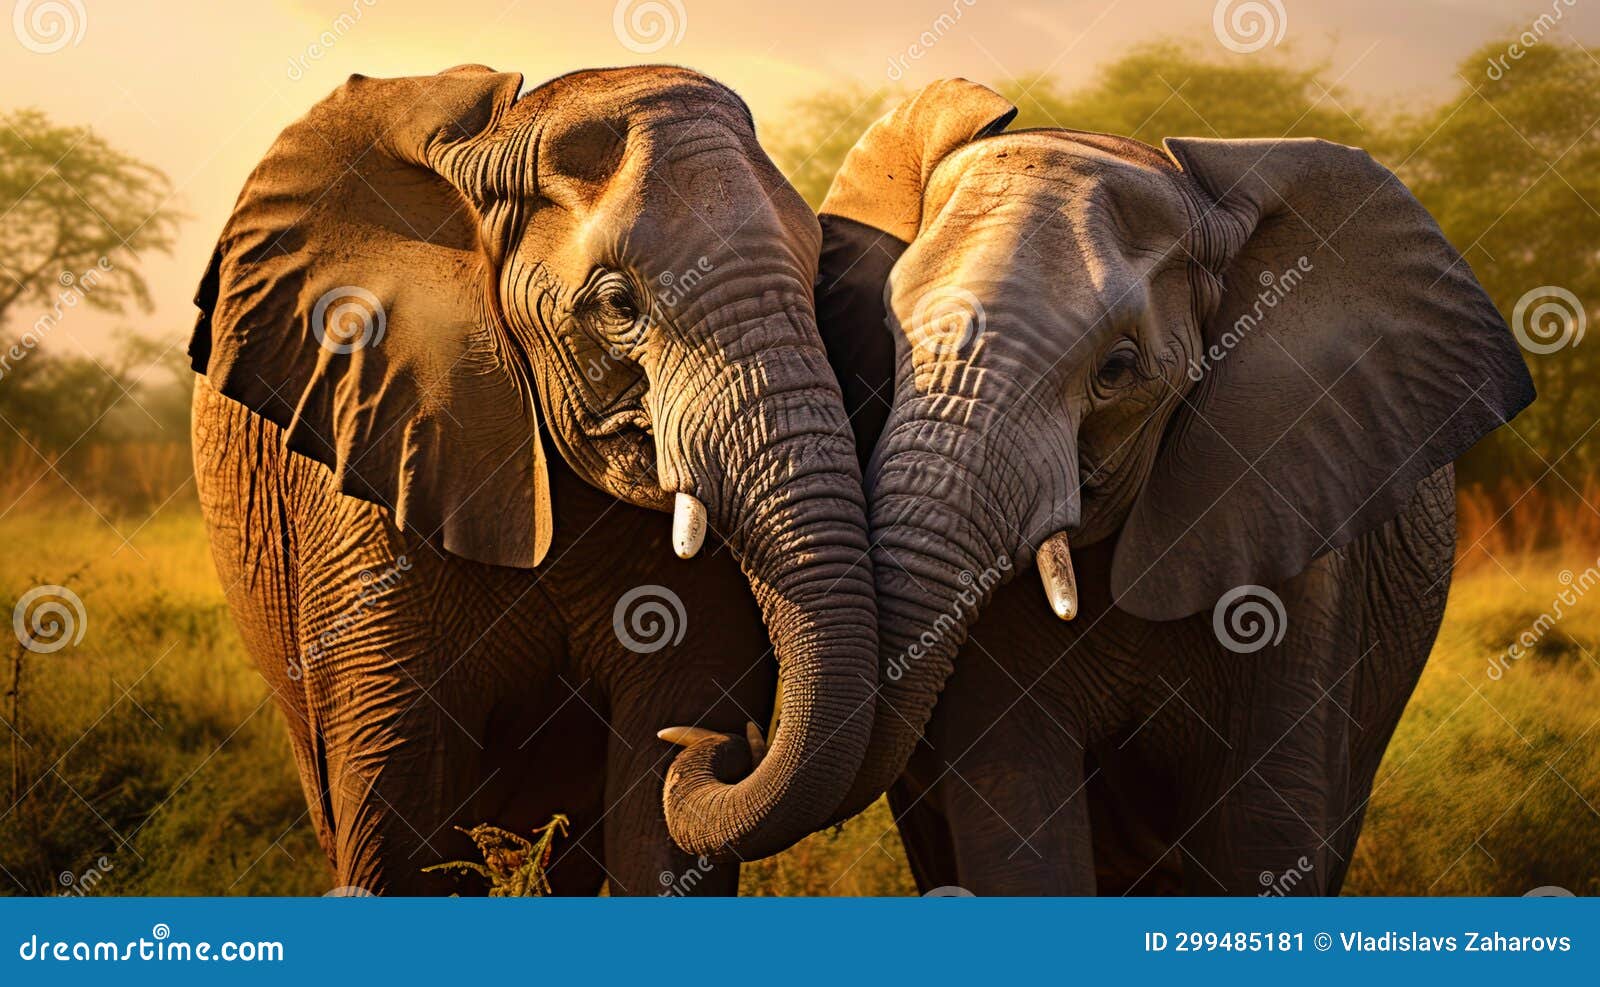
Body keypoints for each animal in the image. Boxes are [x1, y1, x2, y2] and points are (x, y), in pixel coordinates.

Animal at [188, 64, 878, 895]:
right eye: (618, 303)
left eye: (818, 279)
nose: (722, 743)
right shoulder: (373, 466)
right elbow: (396, 821)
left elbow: (661, 823)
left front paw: (679, 736)